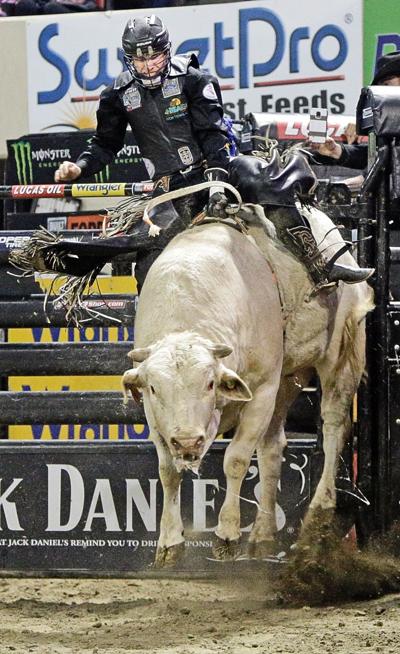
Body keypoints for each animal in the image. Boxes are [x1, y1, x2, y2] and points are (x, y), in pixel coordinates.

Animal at [122, 206, 374, 567]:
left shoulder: (262, 391)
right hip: (288, 379)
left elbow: (236, 460)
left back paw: (318, 514)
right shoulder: (155, 416)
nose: (188, 441)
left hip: (340, 354)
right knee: (272, 447)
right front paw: (170, 543)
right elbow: (168, 470)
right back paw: (262, 534)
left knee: (334, 427)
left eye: (210, 383)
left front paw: (226, 536)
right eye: (155, 388)